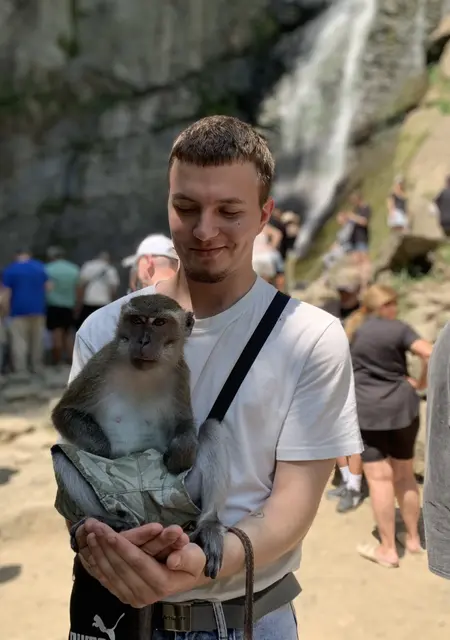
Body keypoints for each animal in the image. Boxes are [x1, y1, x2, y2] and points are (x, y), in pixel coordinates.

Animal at [51, 293, 230, 583]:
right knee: (63, 454)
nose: (143, 341)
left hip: (181, 495)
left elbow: (185, 424)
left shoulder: (180, 372)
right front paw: (104, 450)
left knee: (212, 428)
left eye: (159, 323)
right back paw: (106, 521)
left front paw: (180, 453)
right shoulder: (104, 361)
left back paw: (209, 525)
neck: (144, 371)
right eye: (136, 320)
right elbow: (64, 413)